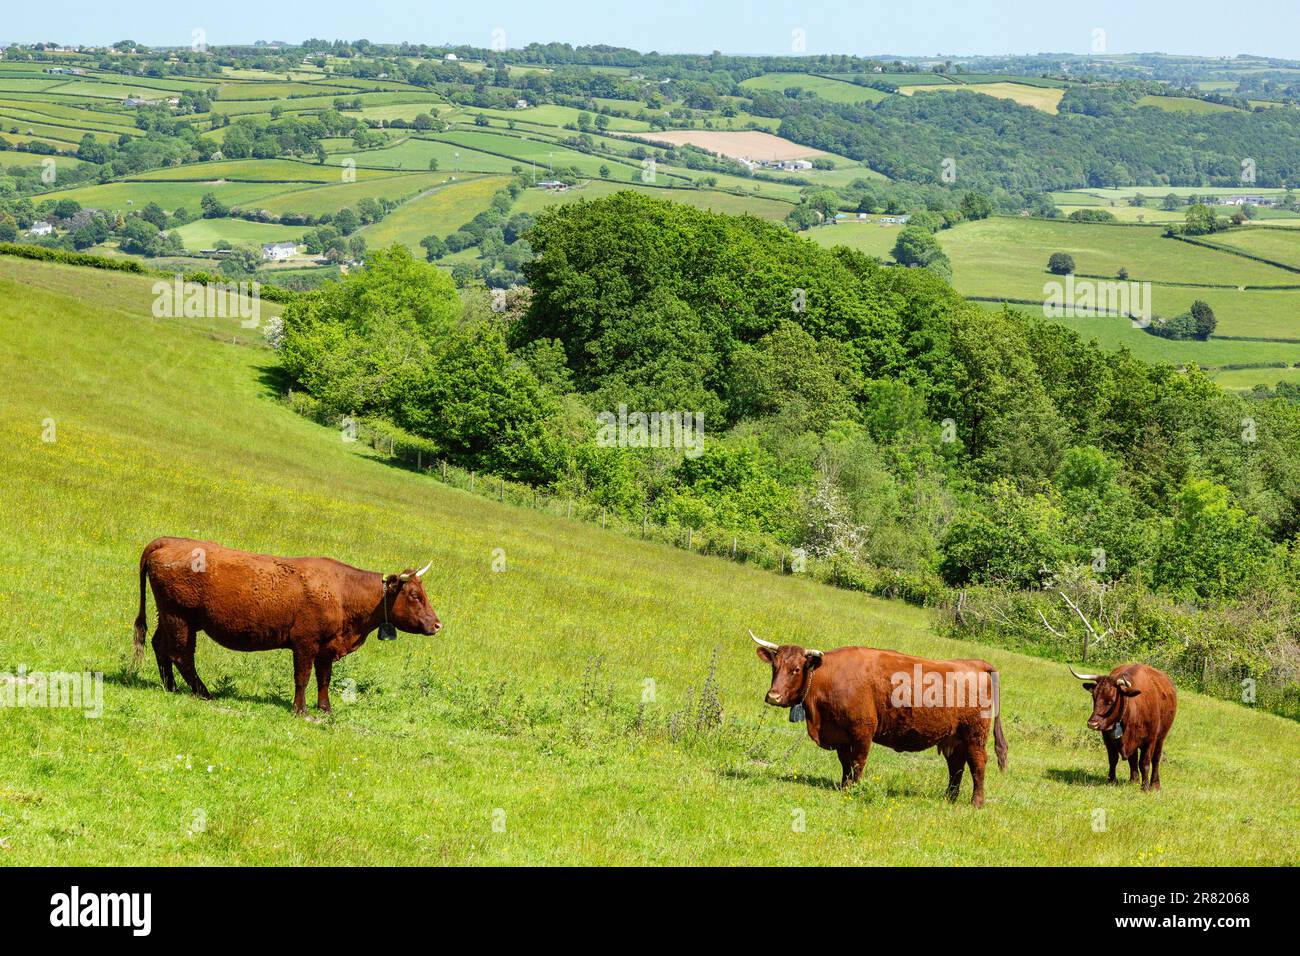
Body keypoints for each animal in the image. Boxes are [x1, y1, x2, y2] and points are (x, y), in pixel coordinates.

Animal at [133, 537, 441, 714]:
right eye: (415, 595)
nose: (438, 625)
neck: (343, 592)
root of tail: (165, 541)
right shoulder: (305, 643)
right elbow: (302, 677)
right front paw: (300, 710)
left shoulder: (326, 647)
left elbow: (324, 679)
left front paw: (326, 709)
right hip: (180, 617)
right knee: (181, 655)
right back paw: (203, 693)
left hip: (170, 616)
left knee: (160, 646)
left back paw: (170, 687)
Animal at [750, 631, 1008, 807]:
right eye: (774, 666)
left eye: (796, 669)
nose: (773, 696)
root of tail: (975, 663)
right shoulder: (841, 735)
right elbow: (845, 763)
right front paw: (844, 787)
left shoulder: (863, 731)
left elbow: (858, 762)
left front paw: (854, 789)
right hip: (954, 739)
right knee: (956, 767)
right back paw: (949, 798)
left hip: (974, 736)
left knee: (977, 764)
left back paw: (976, 802)